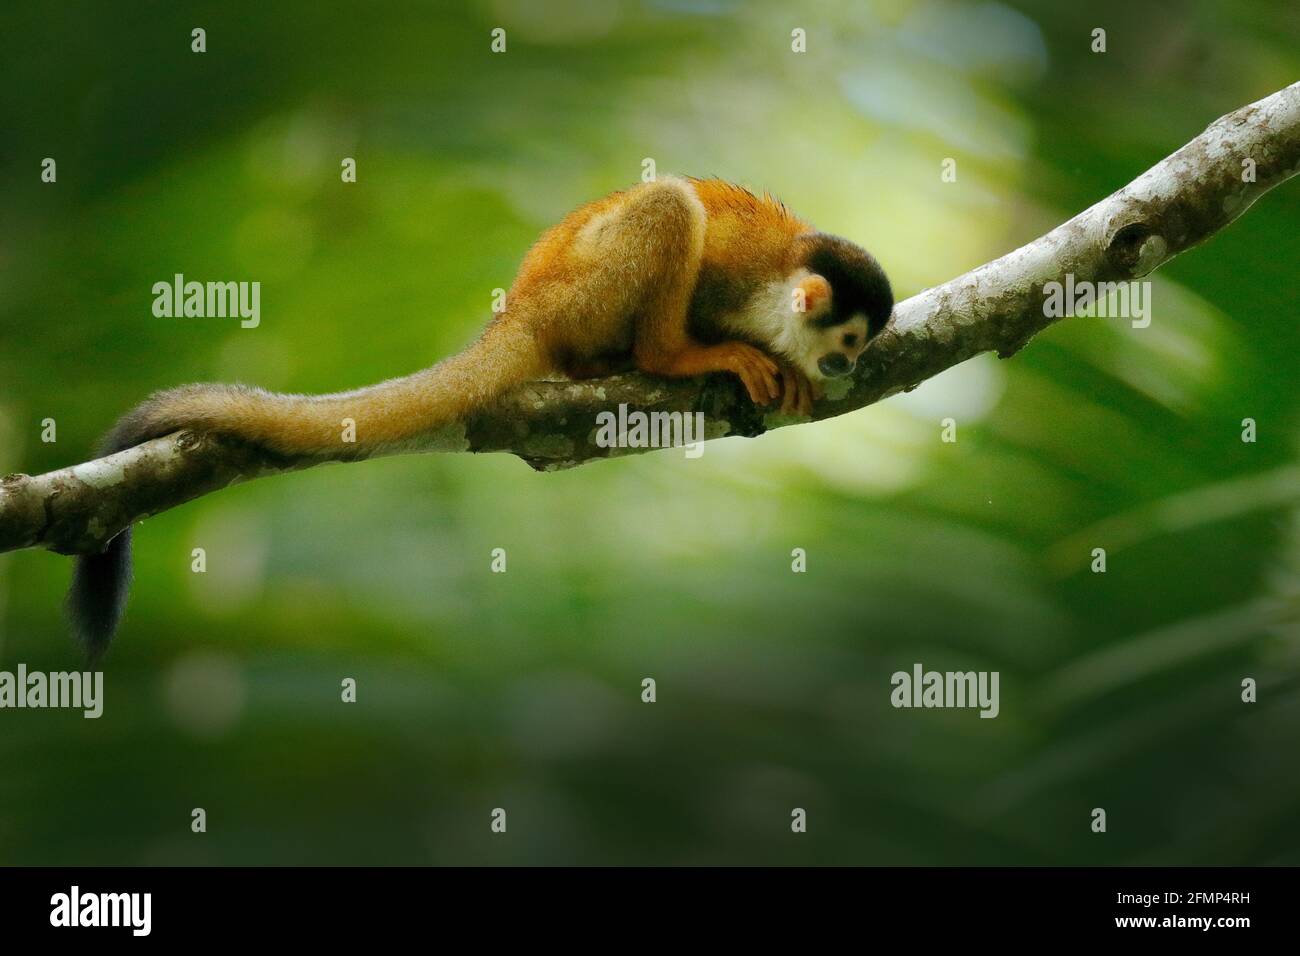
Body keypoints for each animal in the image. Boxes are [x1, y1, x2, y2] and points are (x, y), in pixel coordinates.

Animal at [67, 176, 893, 654]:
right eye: (849, 340)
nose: (846, 366)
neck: (773, 299)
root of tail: (520, 309)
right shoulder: (737, 279)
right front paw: (711, 353)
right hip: (583, 289)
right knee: (667, 207)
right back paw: (665, 355)